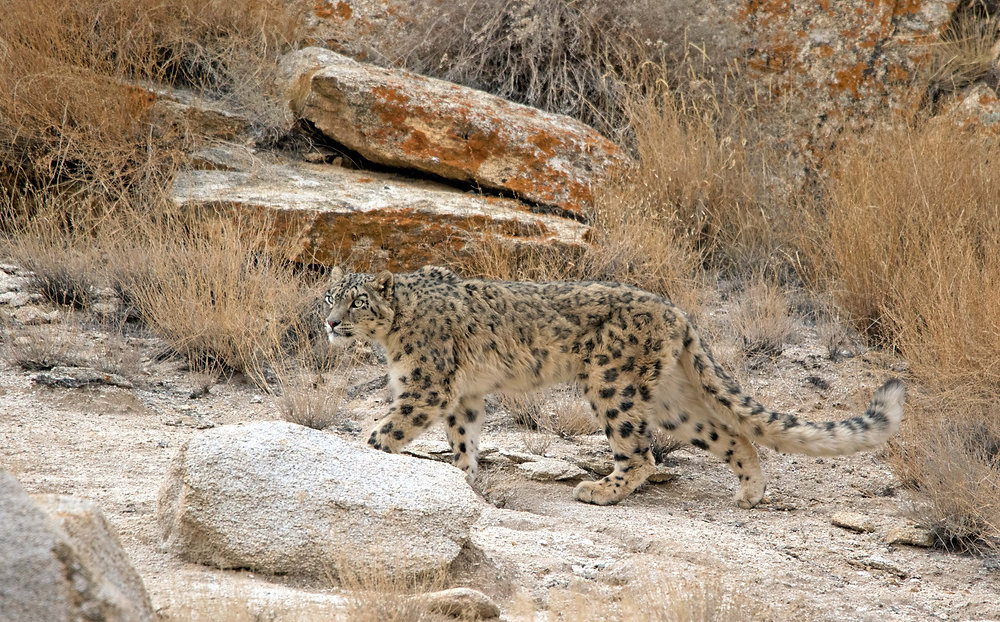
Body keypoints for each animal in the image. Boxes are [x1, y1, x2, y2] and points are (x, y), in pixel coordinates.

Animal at [323, 265, 904, 508]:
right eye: (330, 294)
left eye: (356, 300)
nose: (329, 323)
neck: (392, 335)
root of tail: (677, 311)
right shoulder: (462, 396)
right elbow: (464, 442)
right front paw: (465, 478)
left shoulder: (426, 388)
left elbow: (384, 432)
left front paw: (360, 456)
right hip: (672, 403)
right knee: (732, 434)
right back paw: (750, 493)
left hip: (611, 385)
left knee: (640, 454)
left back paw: (600, 490)